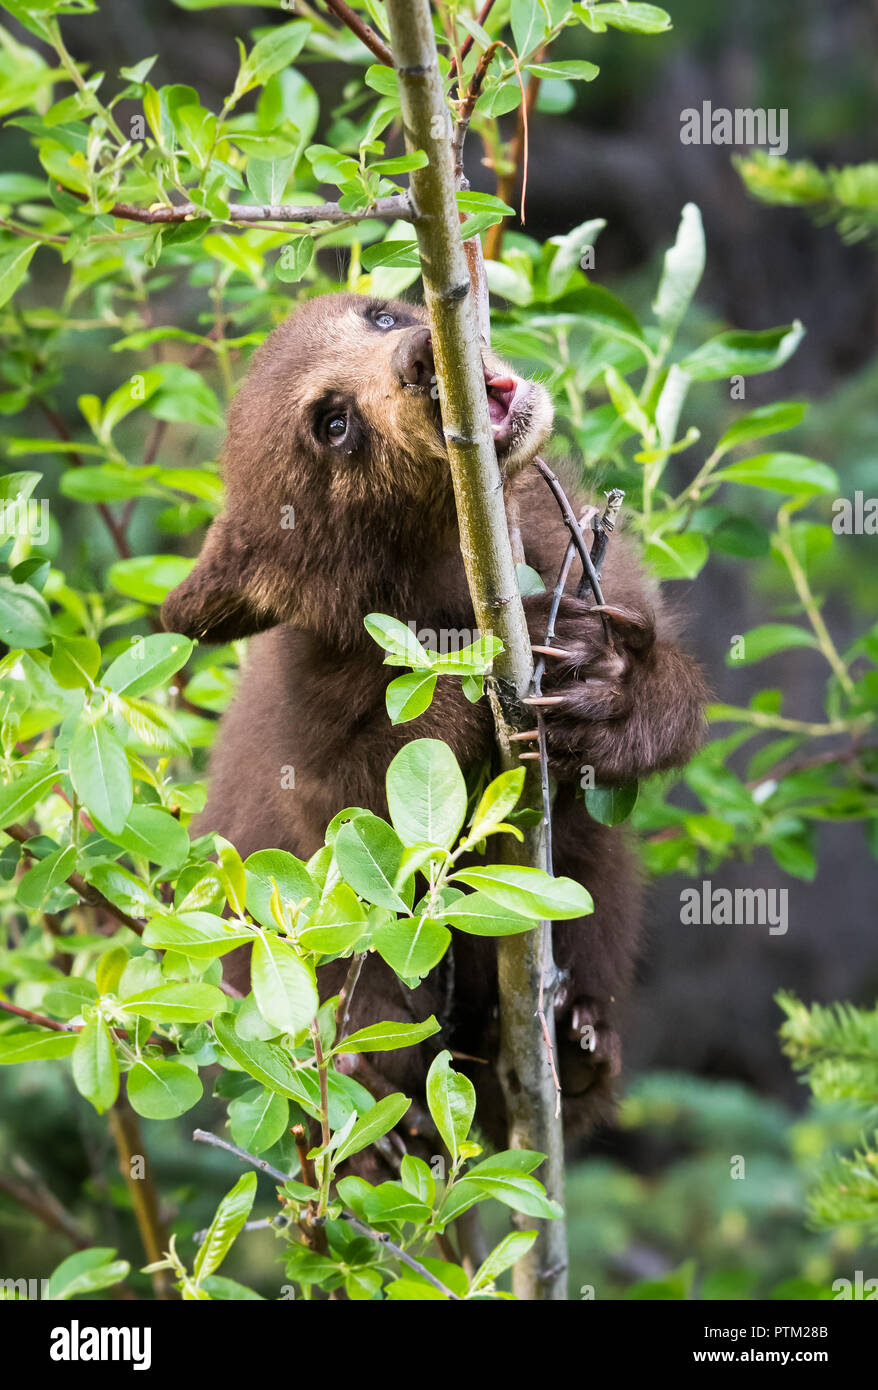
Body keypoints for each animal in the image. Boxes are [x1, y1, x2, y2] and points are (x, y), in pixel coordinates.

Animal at [161, 291, 707, 1160]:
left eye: (377, 316)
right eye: (333, 423)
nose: (422, 356)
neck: (457, 563)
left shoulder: (582, 559)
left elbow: (670, 697)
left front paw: (602, 682)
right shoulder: (312, 692)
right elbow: (347, 802)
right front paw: (479, 675)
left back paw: (578, 1042)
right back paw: (379, 1099)